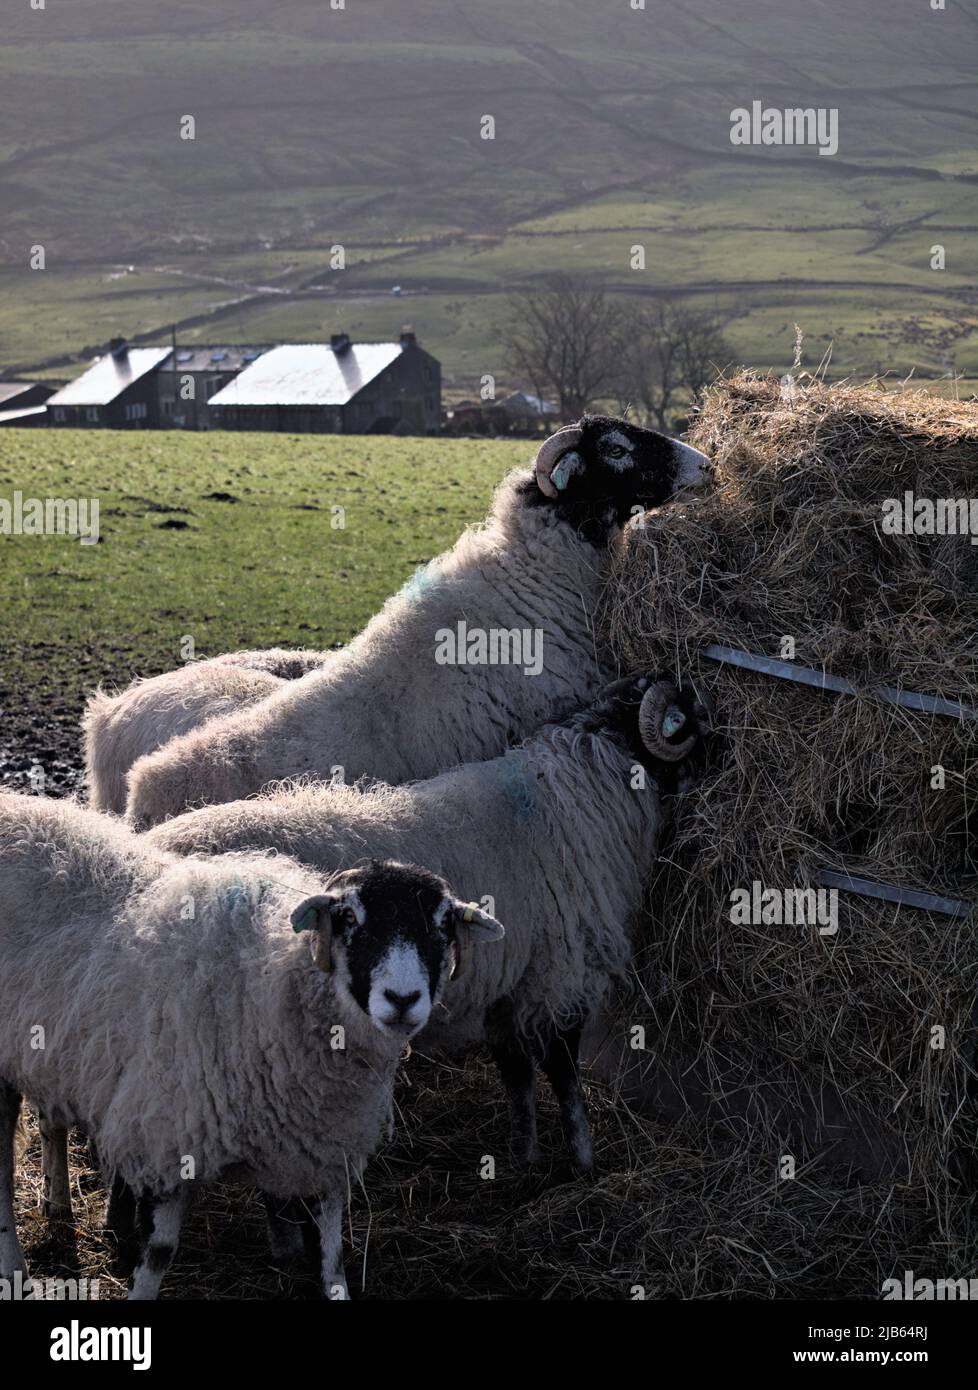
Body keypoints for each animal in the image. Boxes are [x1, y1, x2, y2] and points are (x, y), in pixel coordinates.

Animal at [0, 791, 503, 1299]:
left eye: (443, 925)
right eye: (348, 917)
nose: (402, 999)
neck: (272, 986)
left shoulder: (323, 1147)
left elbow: (332, 1259)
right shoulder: (166, 1135)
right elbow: (157, 1253)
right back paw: (14, 1266)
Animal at [146, 671, 714, 1172]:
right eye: (689, 719)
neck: (583, 792)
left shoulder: (505, 987)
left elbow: (519, 1079)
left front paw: (525, 1156)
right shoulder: (560, 977)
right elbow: (565, 1079)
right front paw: (583, 1162)